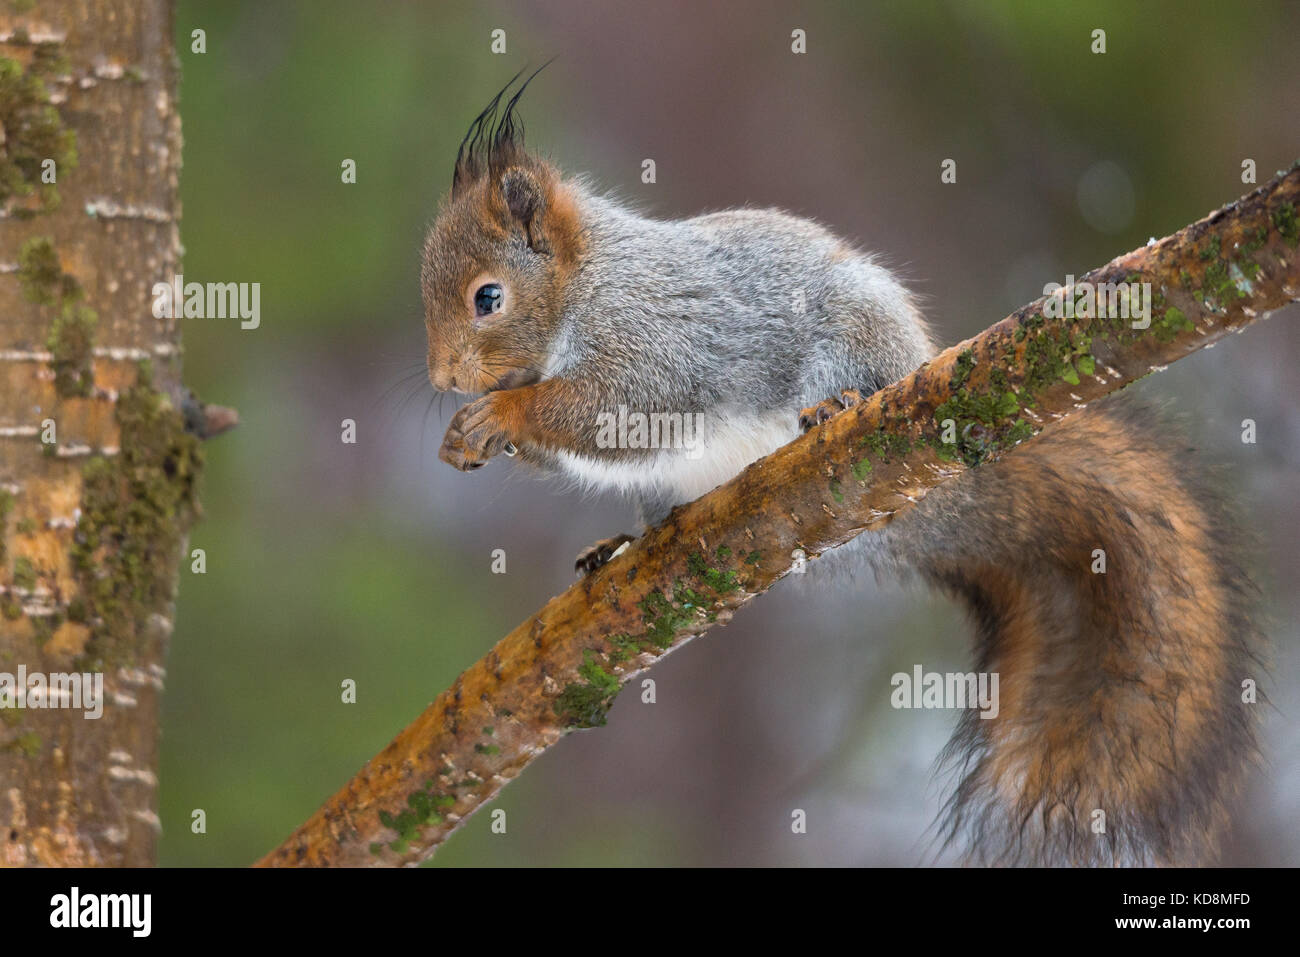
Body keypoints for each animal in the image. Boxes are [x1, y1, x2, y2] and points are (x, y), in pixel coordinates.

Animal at [420, 73, 1261, 866]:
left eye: (488, 297)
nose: (442, 379)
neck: (584, 284)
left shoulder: (658, 338)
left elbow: (617, 405)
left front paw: (502, 415)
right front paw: (465, 435)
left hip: (854, 335)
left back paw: (836, 406)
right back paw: (624, 543)